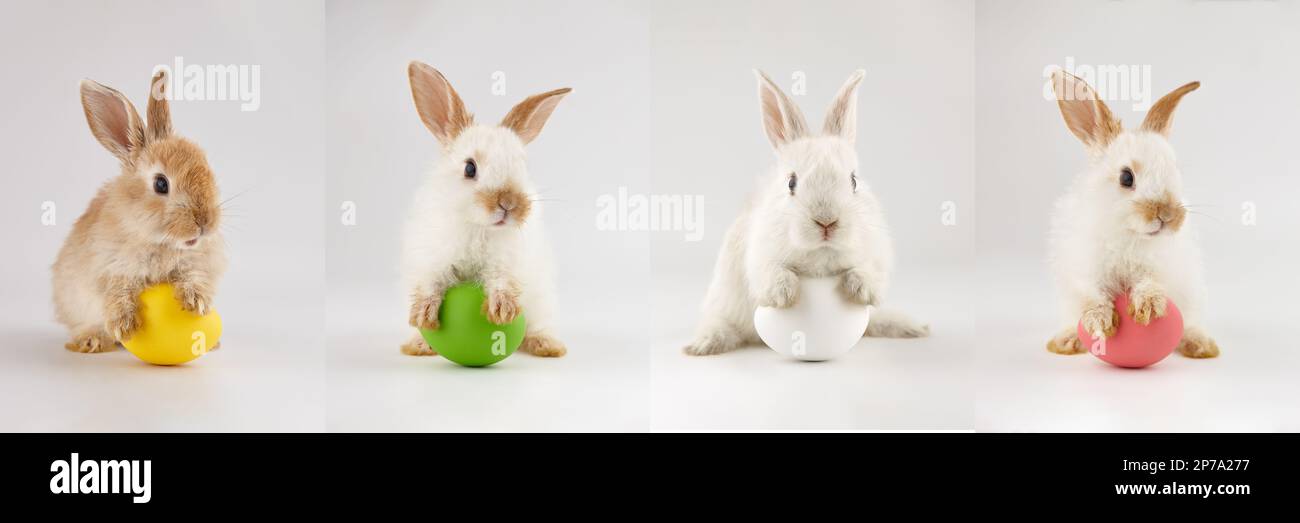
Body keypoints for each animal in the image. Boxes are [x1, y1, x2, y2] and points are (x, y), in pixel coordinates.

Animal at [52, 69, 227, 353]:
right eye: (161, 184)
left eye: (206, 168)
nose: (205, 222)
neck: (159, 240)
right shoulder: (109, 269)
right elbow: (117, 290)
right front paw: (124, 325)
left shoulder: (199, 263)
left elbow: (193, 275)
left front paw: (196, 301)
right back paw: (91, 341)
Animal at [399, 61, 570, 358]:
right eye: (470, 168)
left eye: (522, 165)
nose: (509, 204)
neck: (479, 226)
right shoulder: (431, 257)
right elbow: (431, 283)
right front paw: (423, 316)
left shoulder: (508, 262)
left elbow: (501, 279)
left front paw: (502, 310)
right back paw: (419, 346)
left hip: (542, 299)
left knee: (540, 324)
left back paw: (548, 346)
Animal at [683, 70, 929, 356]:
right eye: (791, 182)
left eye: (853, 181)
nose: (826, 222)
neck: (819, 256)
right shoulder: (759, 258)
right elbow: (772, 272)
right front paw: (784, 294)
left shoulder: (875, 255)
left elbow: (868, 270)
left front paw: (861, 290)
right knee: (721, 323)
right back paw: (702, 345)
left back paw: (913, 327)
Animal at [1045, 70, 1218, 359]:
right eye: (1126, 177)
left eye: (1175, 170)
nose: (1168, 215)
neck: (1129, 233)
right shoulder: (1084, 269)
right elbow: (1091, 295)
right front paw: (1100, 321)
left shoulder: (1159, 268)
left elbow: (1149, 282)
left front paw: (1149, 307)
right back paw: (1066, 341)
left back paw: (1201, 345)